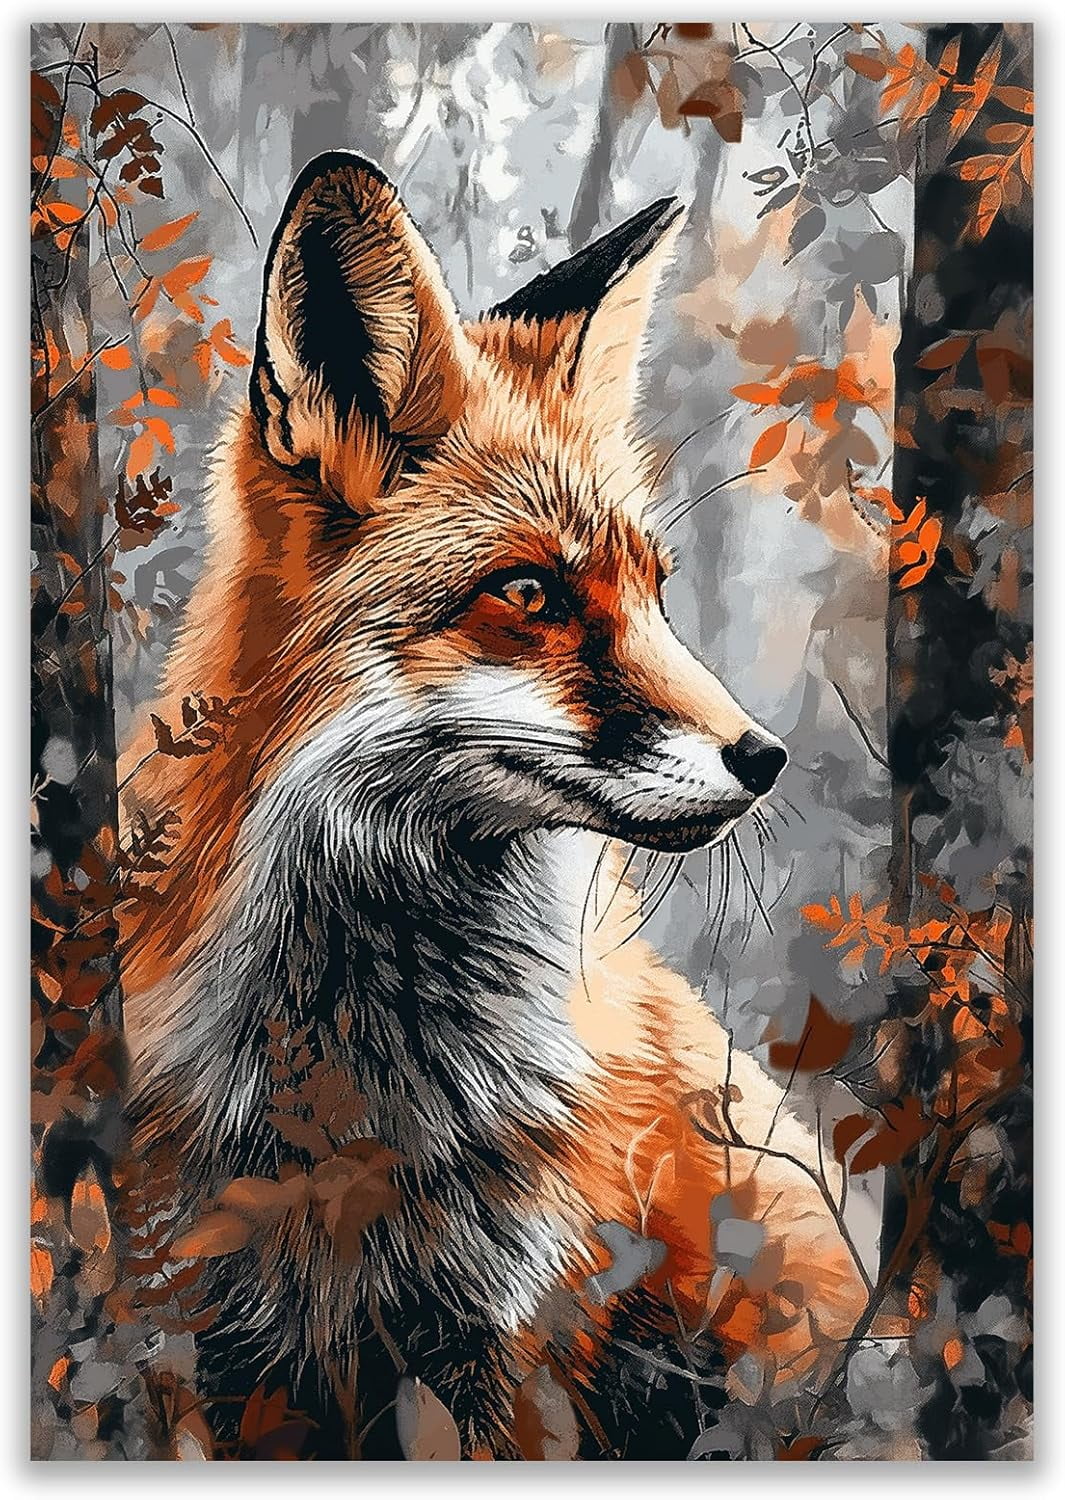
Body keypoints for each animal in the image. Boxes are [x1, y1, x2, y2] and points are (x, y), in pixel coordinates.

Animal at [119, 151, 867, 1459]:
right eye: (530, 594)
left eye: (654, 590)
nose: (764, 756)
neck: (365, 1089)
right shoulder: (227, 1334)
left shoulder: (510, 1338)